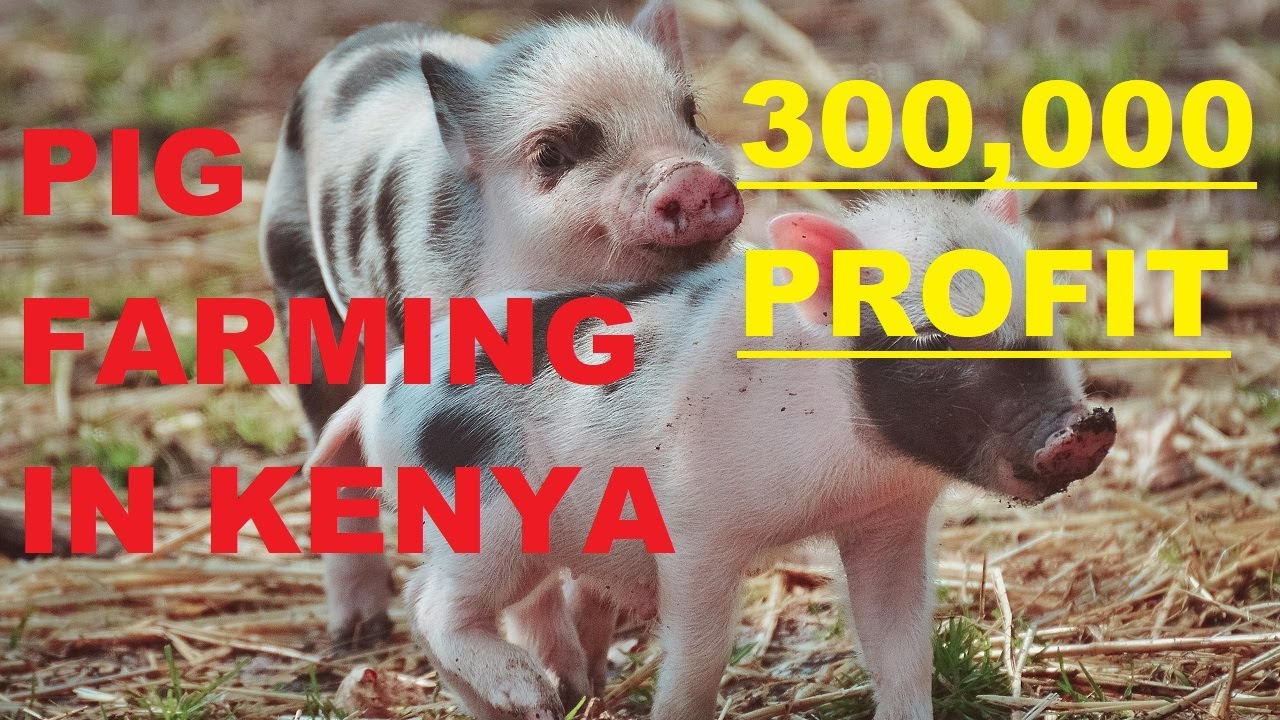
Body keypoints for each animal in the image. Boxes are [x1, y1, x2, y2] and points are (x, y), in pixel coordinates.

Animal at [259, 0, 743, 646]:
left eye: (691, 116)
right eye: (553, 154)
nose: (688, 174)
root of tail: (357, 41)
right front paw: (561, 668)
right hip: (298, 283)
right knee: (335, 458)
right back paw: (358, 633)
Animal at [308, 191, 1117, 720]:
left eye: (1047, 312)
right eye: (927, 334)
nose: (1083, 427)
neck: (849, 467)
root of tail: (378, 393)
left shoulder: (888, 523)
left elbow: (901, 647)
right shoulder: (697, 528)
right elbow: (698, 660)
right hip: (488, 521)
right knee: (431, 606)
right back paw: (528, 693)